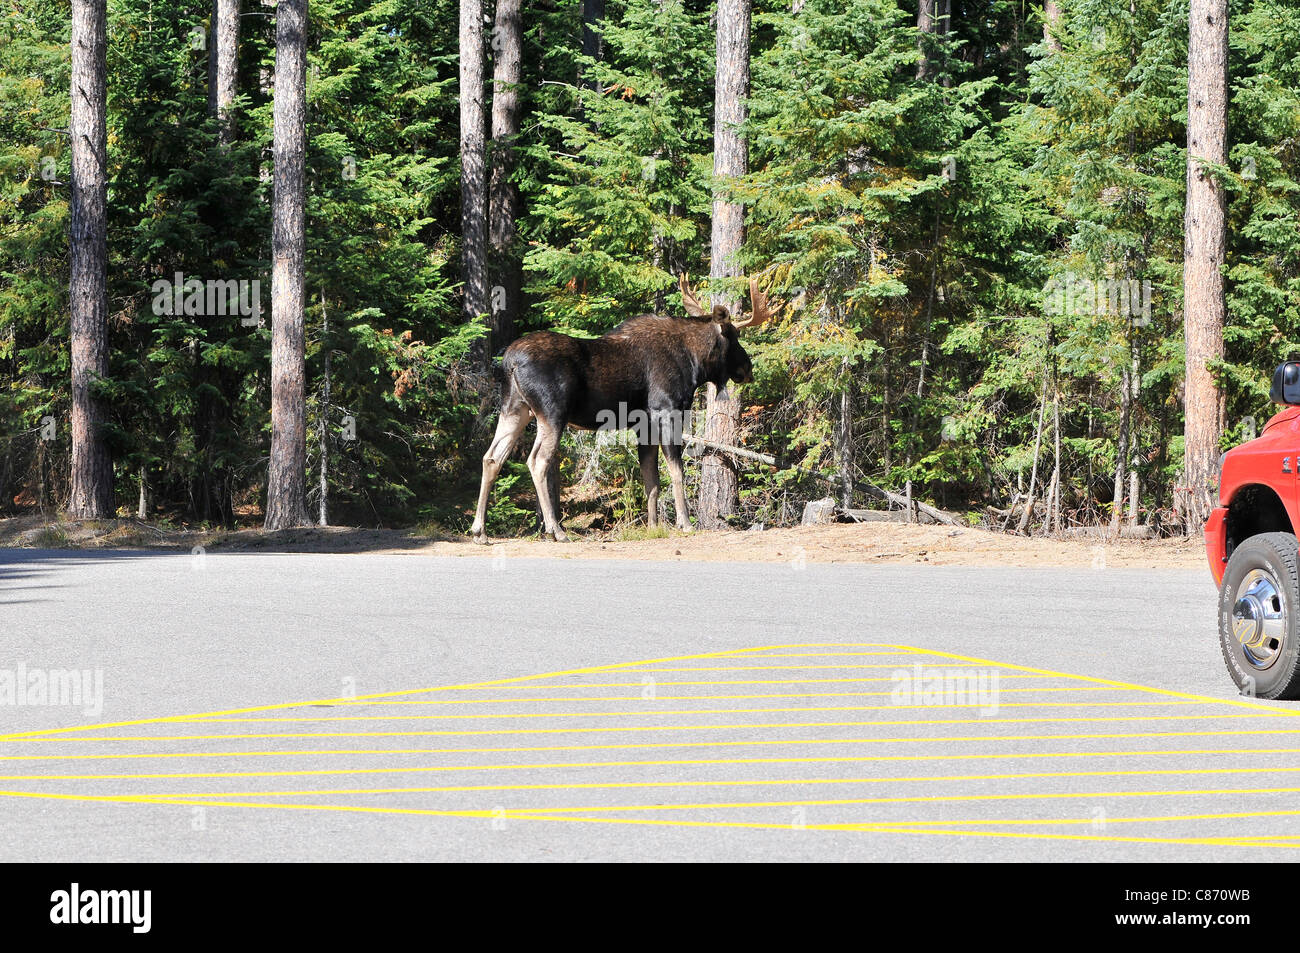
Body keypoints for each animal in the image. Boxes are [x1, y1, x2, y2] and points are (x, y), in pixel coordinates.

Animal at [470, 275, 773, 542]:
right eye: (734, 336)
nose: (748, 368)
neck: (695, 363)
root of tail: (509, 362)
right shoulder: (667, 410)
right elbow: (676, 471)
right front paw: (685, 523)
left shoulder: (644, 424)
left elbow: (651, 479)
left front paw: (653, 527)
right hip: (551, 413)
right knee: (537, 461)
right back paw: (556, 530)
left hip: (514, 408)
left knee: (491, 457)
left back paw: (480, 531)